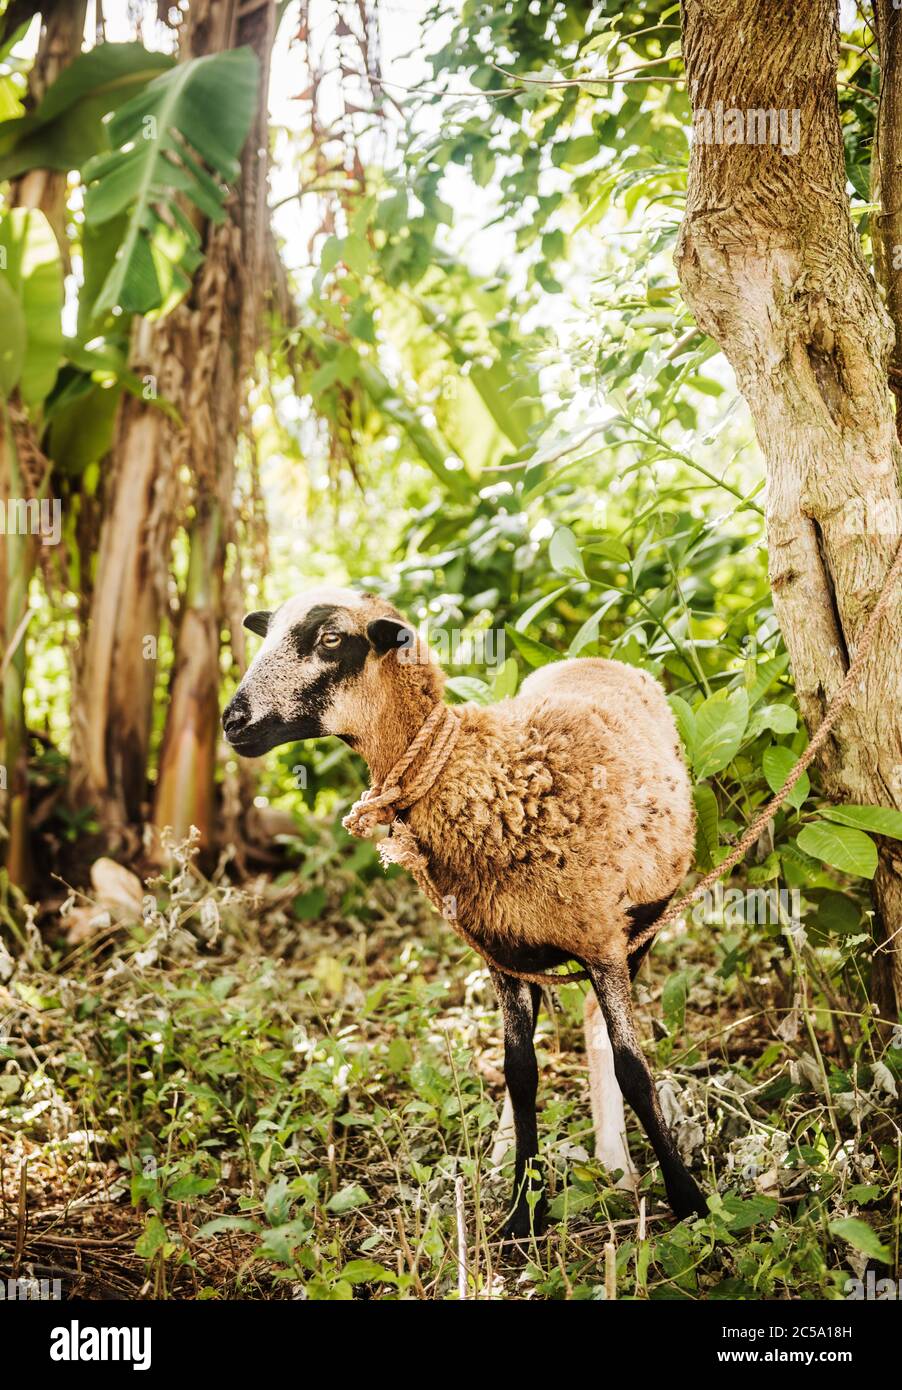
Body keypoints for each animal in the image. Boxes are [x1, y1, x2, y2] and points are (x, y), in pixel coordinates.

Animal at [222, 586, 707, 1238]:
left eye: (330, 639)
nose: (232, 723)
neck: (486, 774)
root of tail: (600, 659)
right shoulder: (501, 956)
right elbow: (520, 1072)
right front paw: (522, 1211)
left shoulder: (604, 942)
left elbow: (633, 1070)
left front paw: (691, 1203)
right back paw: (512, 1154)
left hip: (640, 924)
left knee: (597, 1032)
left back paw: (616, 1163)